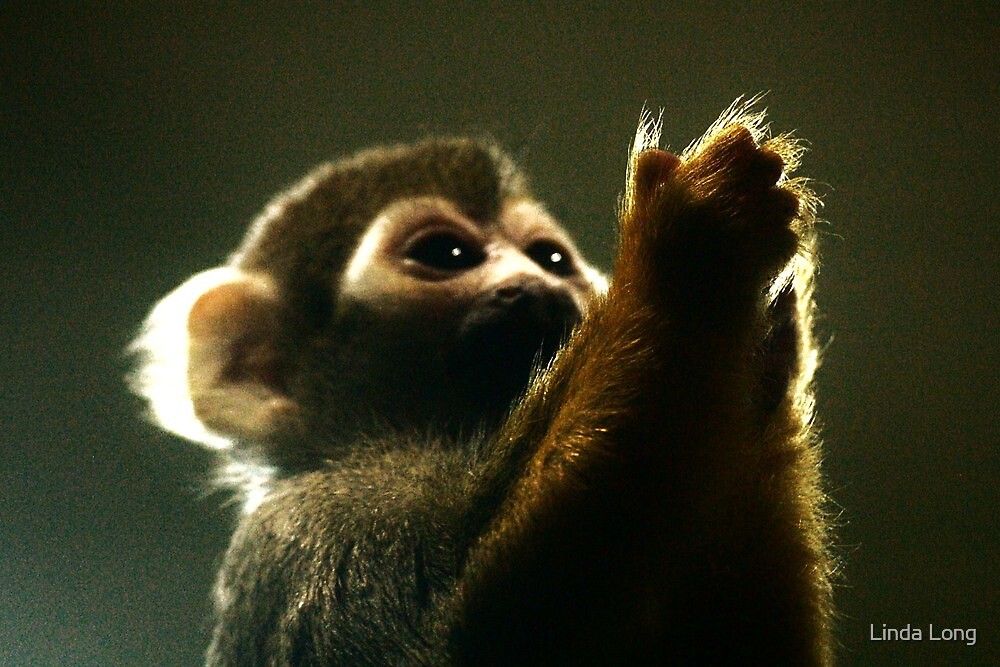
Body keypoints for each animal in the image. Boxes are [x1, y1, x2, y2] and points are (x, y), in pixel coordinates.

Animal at [130, 100, 834, 665]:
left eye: (551, 257)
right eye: (446, 255)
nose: (541, 283)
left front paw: (770, 357)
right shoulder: (316, 525)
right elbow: (470, 638)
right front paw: (689, 252)